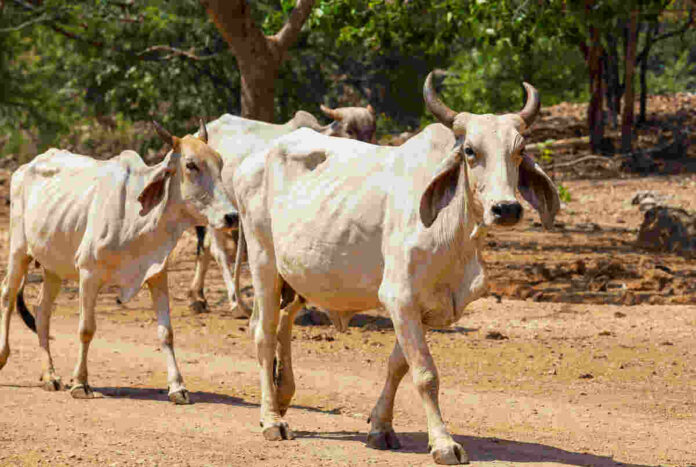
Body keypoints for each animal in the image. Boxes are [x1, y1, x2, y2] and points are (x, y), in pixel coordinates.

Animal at [0, 121, 237, 405]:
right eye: (191, 165)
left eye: (220, 162)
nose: (232, 216)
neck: (138, 218)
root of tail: (26, 166)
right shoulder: (88, 272)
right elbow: (86, 329)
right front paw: (80, 383)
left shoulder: (157, 273)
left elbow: (166, 333)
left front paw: (178, 387)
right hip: (18, 249)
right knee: (7, 295)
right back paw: (4, 356)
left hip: (53, 266)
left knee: (42, 311)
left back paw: (50, 375)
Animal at [188, 104, 377, 315]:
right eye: (349, 130)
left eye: (371, 131)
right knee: (217, 252)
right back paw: (233, 300)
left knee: (204, 248)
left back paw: (198, 297)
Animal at [230, 72, 560, 464]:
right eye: (469, 151)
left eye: (519, 150)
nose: (506, 209)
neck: (455, 234)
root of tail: (254, 159)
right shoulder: (400, 297)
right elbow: (425, 374)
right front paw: (443, 443)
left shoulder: (424, 308)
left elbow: (398, 366)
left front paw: (380, 428)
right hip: (263, 260)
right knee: (263, 332)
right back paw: (272, 419)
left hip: (297, 277)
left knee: (283, 324)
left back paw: (282, 397)